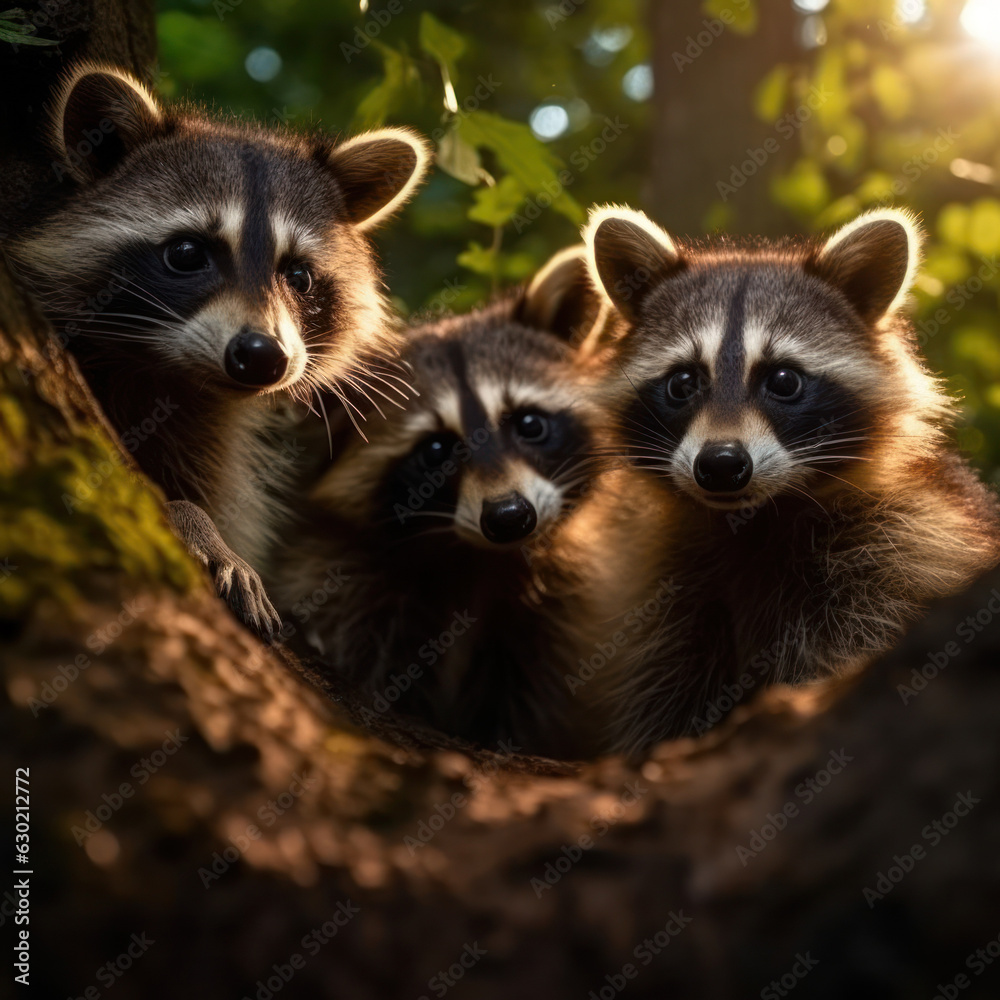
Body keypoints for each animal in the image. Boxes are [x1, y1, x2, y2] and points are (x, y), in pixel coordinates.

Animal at [5, 62, 429, 635]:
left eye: (298, 276)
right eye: (187, 253)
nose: (263, 356)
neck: (161, 372)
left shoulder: (206, 433)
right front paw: (194, 523)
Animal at [271, 247, 634, 758]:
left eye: (528, 423)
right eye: (437, 449)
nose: (509, 518)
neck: (475, 560)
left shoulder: (556, 608)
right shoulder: (348, 582)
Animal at [582, 205, 1000, 754]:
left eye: (783, 380)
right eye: (683, 382)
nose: (721, 465)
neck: (752, 519)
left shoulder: (907, 548)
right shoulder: (663, 585)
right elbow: (662, 688)